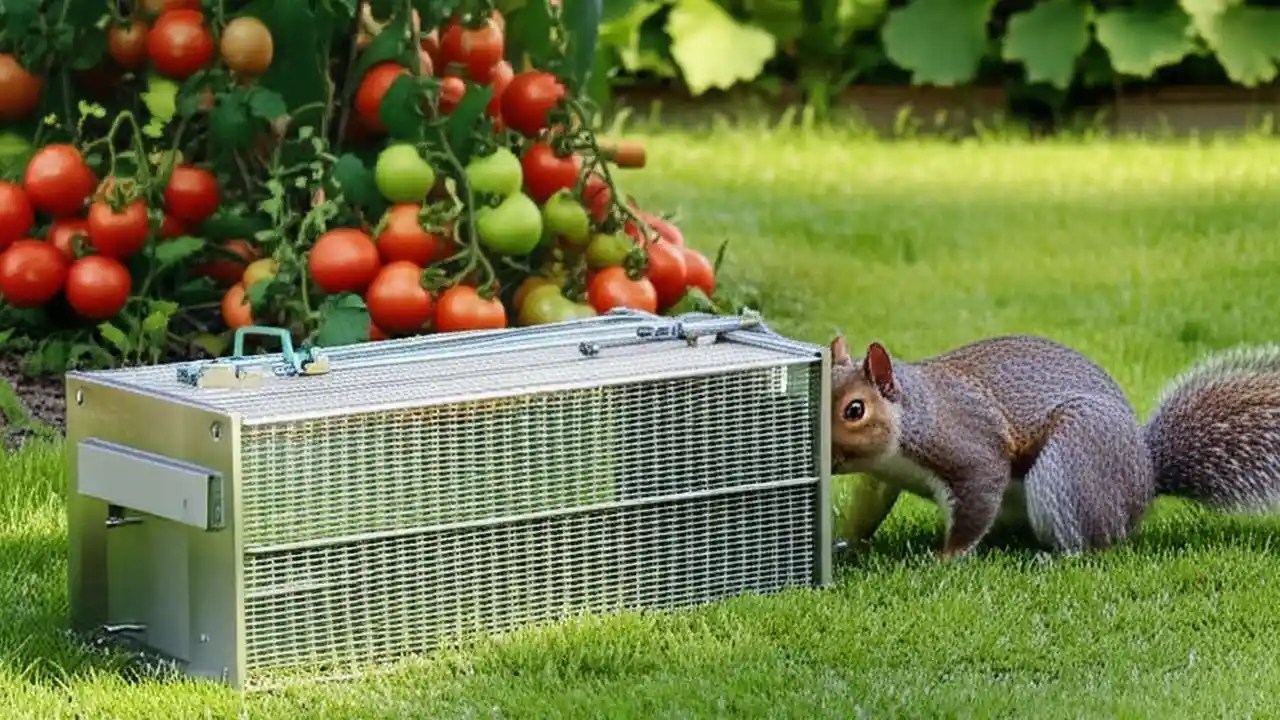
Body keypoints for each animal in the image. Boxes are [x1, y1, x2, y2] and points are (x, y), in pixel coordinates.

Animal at [828, 334, 1280, 558]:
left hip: (1070, 464)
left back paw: (1055, 556)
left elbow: (975, 503)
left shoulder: (969, 453)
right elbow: (868, 510)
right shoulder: (882, 478)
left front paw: (944, 558)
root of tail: (1145, 478)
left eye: (855, 410)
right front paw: (848, 544)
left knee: (1094, 543)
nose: (826, 459)